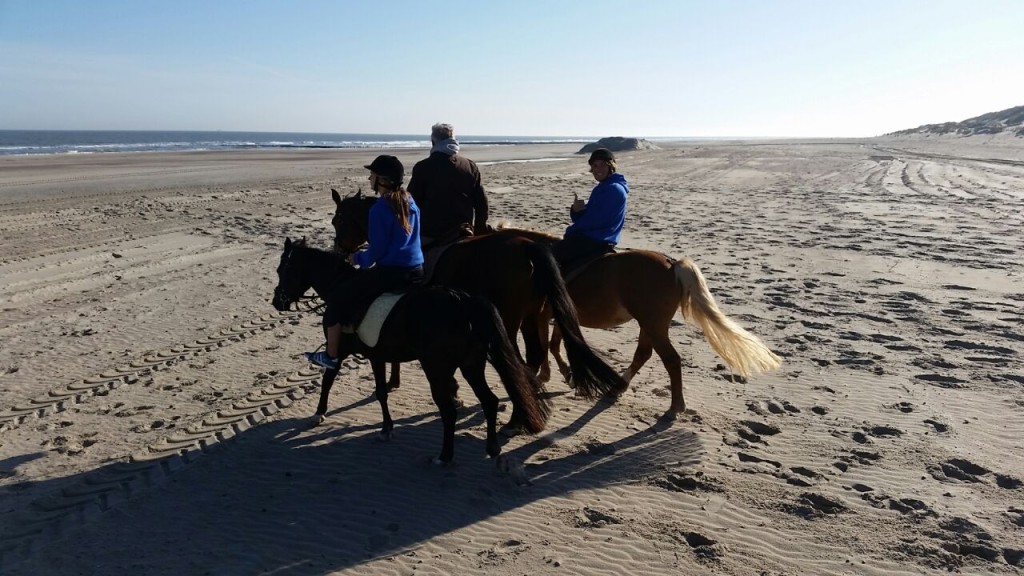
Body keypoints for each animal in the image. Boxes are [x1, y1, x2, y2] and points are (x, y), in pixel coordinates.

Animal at [271, 237, 551, 464]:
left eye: (282, 269)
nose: (277, 302)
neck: (339, 285)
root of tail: (463, 301)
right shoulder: (377, 356)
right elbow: (381, 392)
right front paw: (386, 428)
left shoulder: (340, 349)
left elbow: (328, 379)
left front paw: (318, 414)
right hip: (471, 364)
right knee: (489, 401)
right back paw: (492, 448)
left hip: (437, 369)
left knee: (448, 411)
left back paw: (444, 457)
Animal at [330, 189, 626, 407]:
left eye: (338, 220)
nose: (339, 252)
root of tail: (528, 247)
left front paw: (396, 381)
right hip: (530, 315)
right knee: (534, 353)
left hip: (510, 319)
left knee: (519, 357)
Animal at [494, 228, 782, 414]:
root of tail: (671, 264)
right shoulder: (559, 317)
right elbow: (555, 345)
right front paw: (567, 374)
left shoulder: (541, 315)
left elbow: (546, 346)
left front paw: (548, 374)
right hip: (650, 325)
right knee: (644, 353)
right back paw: (618, 387)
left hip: (653, 325)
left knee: (670, 359)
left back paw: (675, 406)